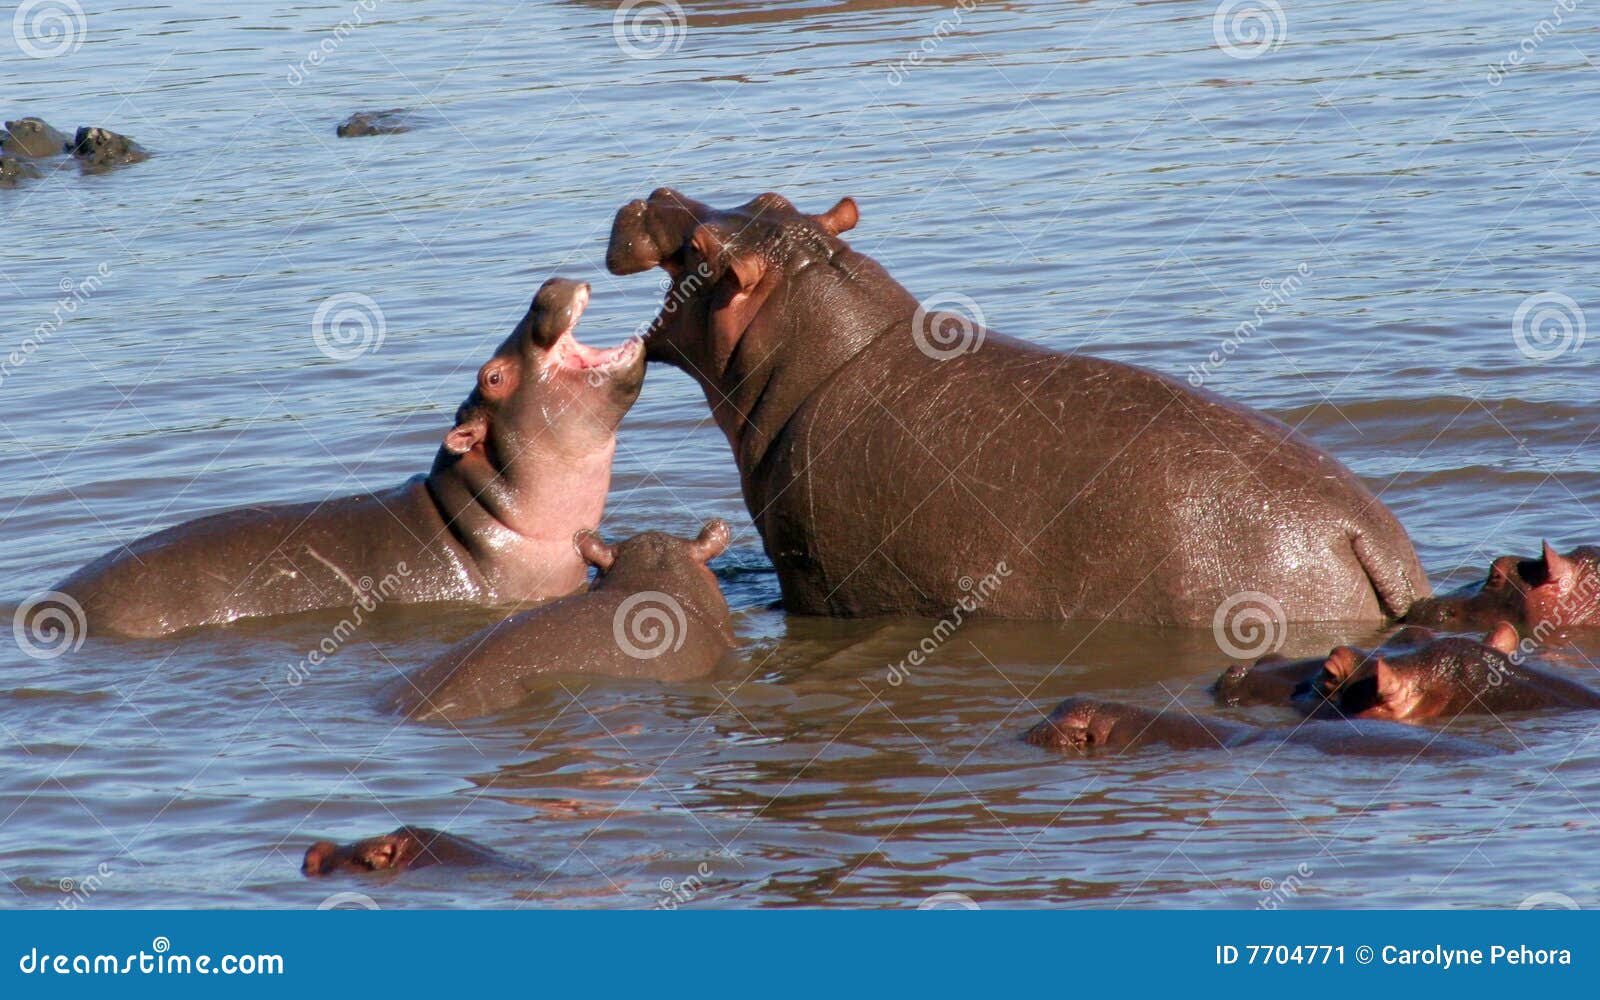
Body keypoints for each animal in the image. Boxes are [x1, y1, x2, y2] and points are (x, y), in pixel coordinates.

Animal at [605, 189, 1429, 625]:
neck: (828, 345)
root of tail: (1368, 536)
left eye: (700, 248)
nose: (657, 193)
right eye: (769, 200)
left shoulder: (806, 576)